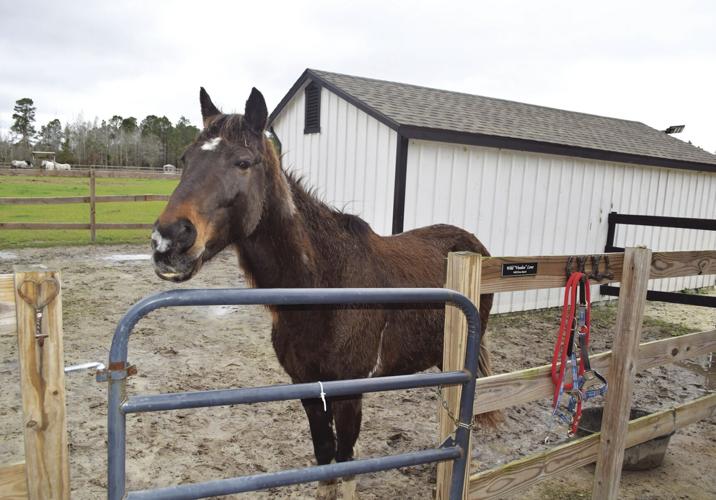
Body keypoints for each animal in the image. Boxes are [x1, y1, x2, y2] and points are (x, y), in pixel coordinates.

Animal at [151, 87, 496, 499]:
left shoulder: (349, 394)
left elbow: (345, 461)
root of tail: (476, 248)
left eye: (243, 162)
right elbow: (324, 455)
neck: (325, 291)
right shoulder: (307, 388)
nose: (168, 240)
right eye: (185, 159)